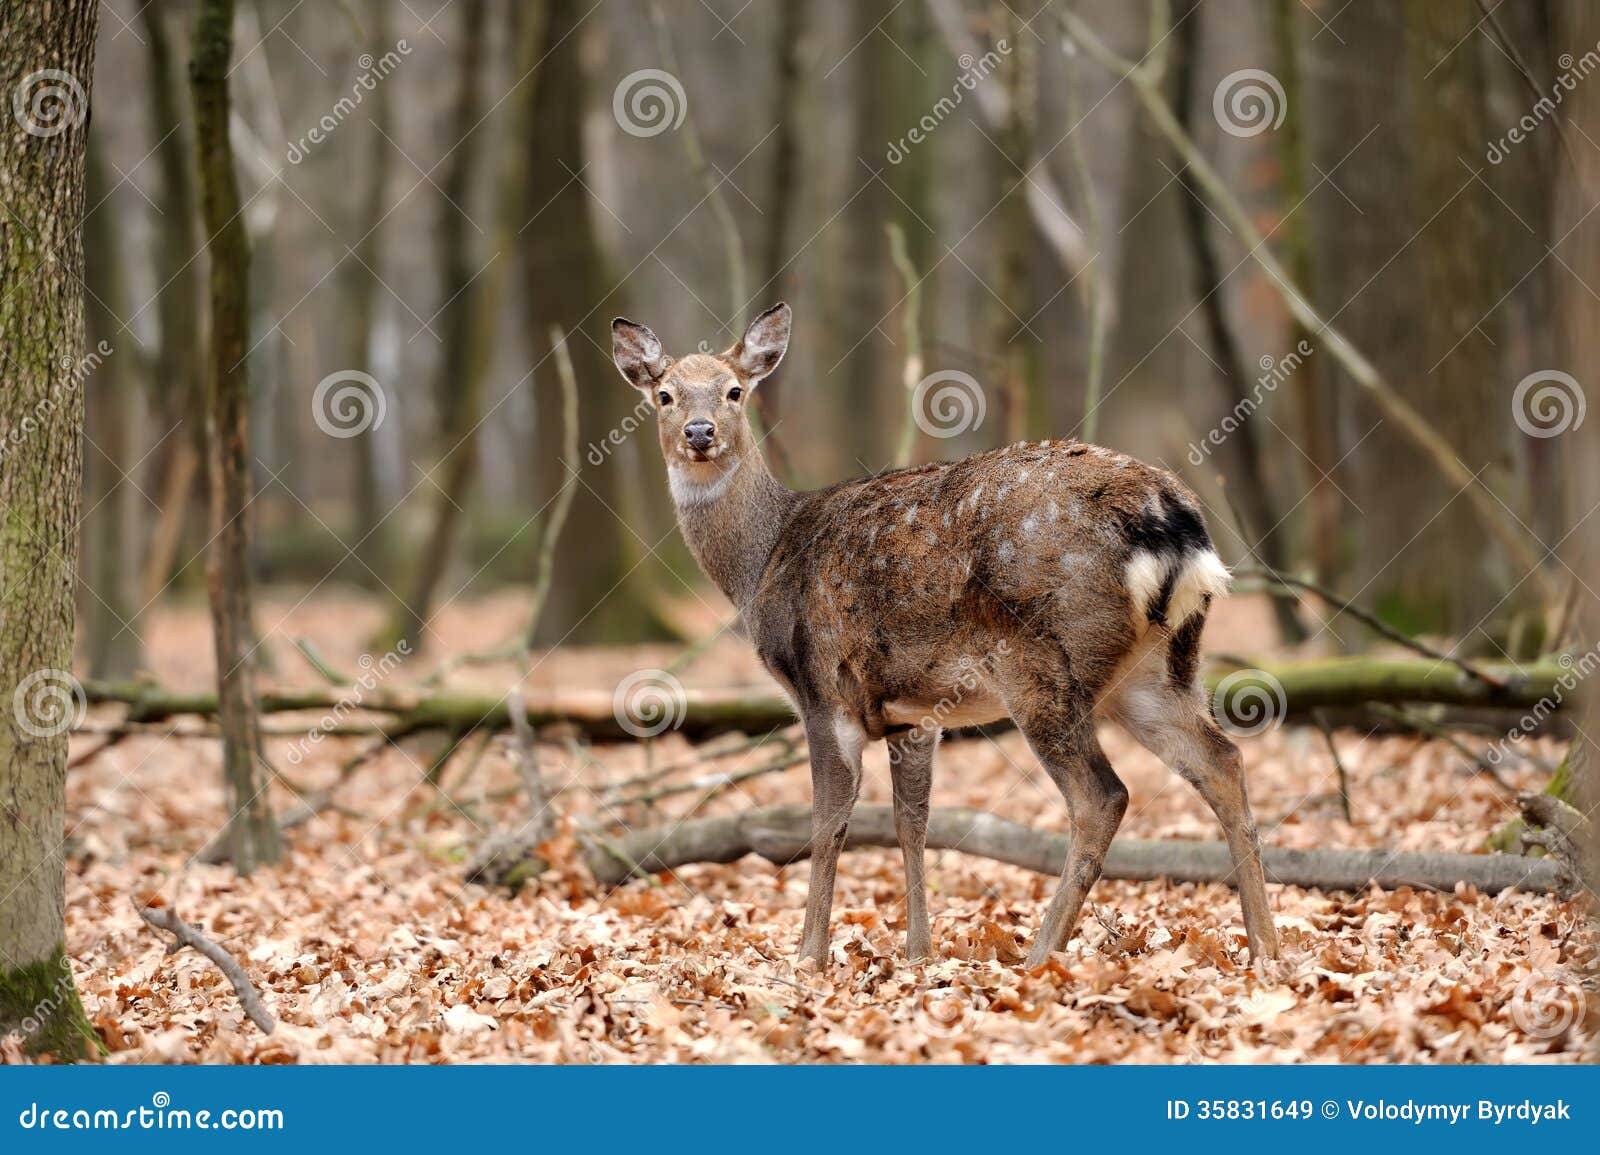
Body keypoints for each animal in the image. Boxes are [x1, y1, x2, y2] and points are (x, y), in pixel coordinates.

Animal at [611, 303, 1279, 969]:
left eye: (734, 391)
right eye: (664, 394)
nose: (699, 432)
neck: (762, 562)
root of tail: (1173, 522)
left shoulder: (822, 687)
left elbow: (828, 823)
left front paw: (808, 957)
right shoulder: (913, 715)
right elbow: (913, 822)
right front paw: (918, 952)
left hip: (1039, 662)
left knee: (1103, 795)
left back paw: (1040, 954)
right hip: (1160, 667)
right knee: (1222, 760)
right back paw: (1266, 948)